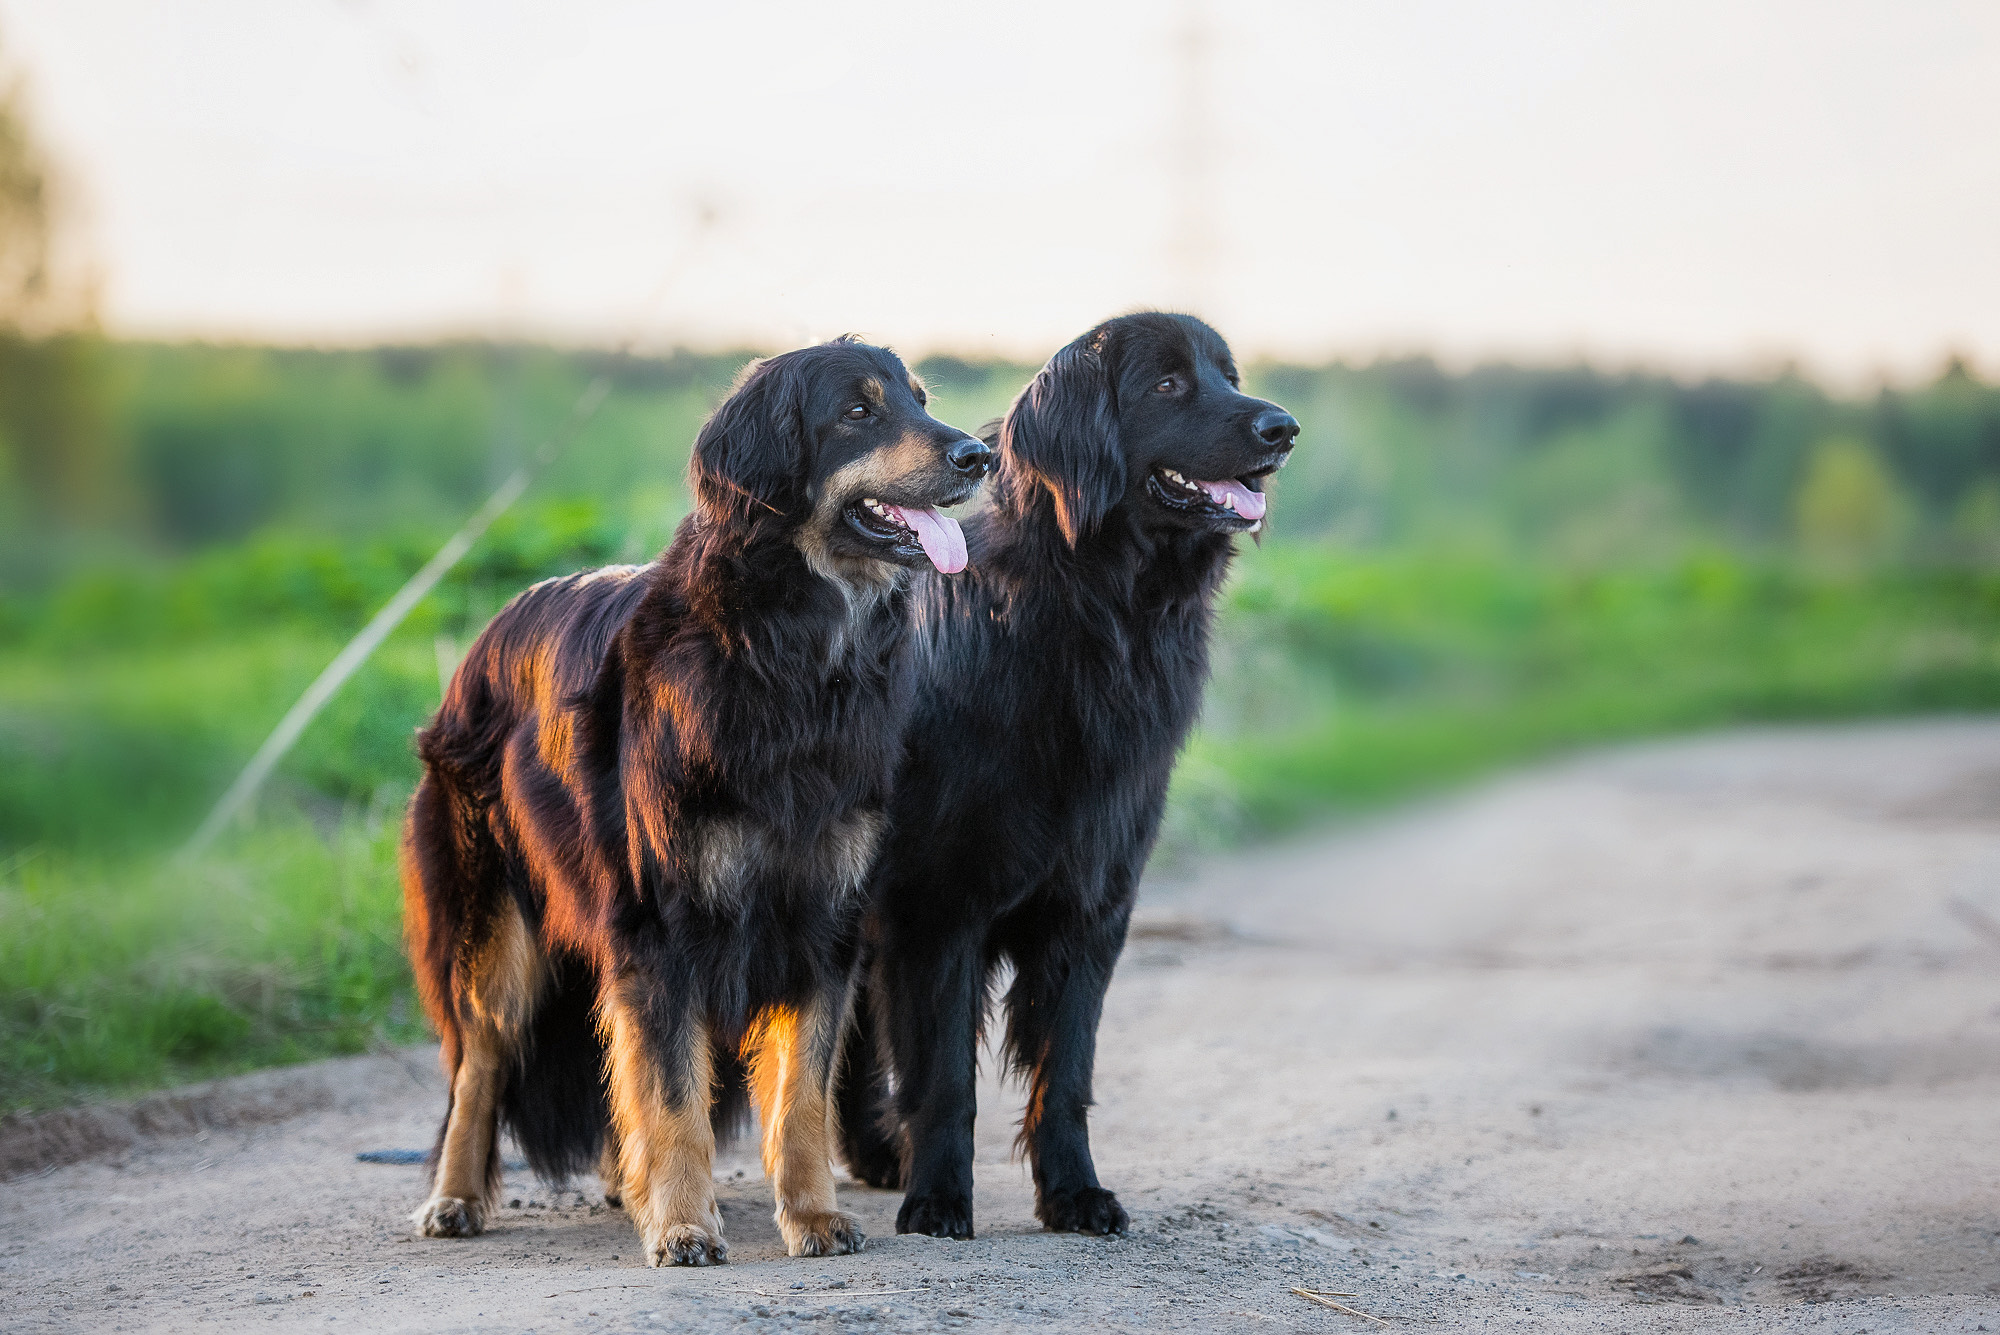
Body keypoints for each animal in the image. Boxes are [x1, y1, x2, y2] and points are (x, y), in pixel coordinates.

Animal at [400, 339, 992, 1271]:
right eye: (858, 412)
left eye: (920, 401)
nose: (979, 455)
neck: (793, 657)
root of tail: (483, 639)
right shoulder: (663, 926)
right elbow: (673, 1098)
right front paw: (681, 1224)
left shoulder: (821, 923)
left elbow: (800, 1098)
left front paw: (813, 1215)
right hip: (494, 933)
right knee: (481, 1067)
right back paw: (455, 1198)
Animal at [828, 307, 1296, 1239]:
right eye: (1168, 384)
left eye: (1229, 376)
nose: (1284, 428)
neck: (1098, 611)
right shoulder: (938, 905)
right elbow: (946, 1077)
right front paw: (940, 1199)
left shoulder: (1094, 903)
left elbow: (1066, 1073)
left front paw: (1076, 1192)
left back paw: (873, 1153)